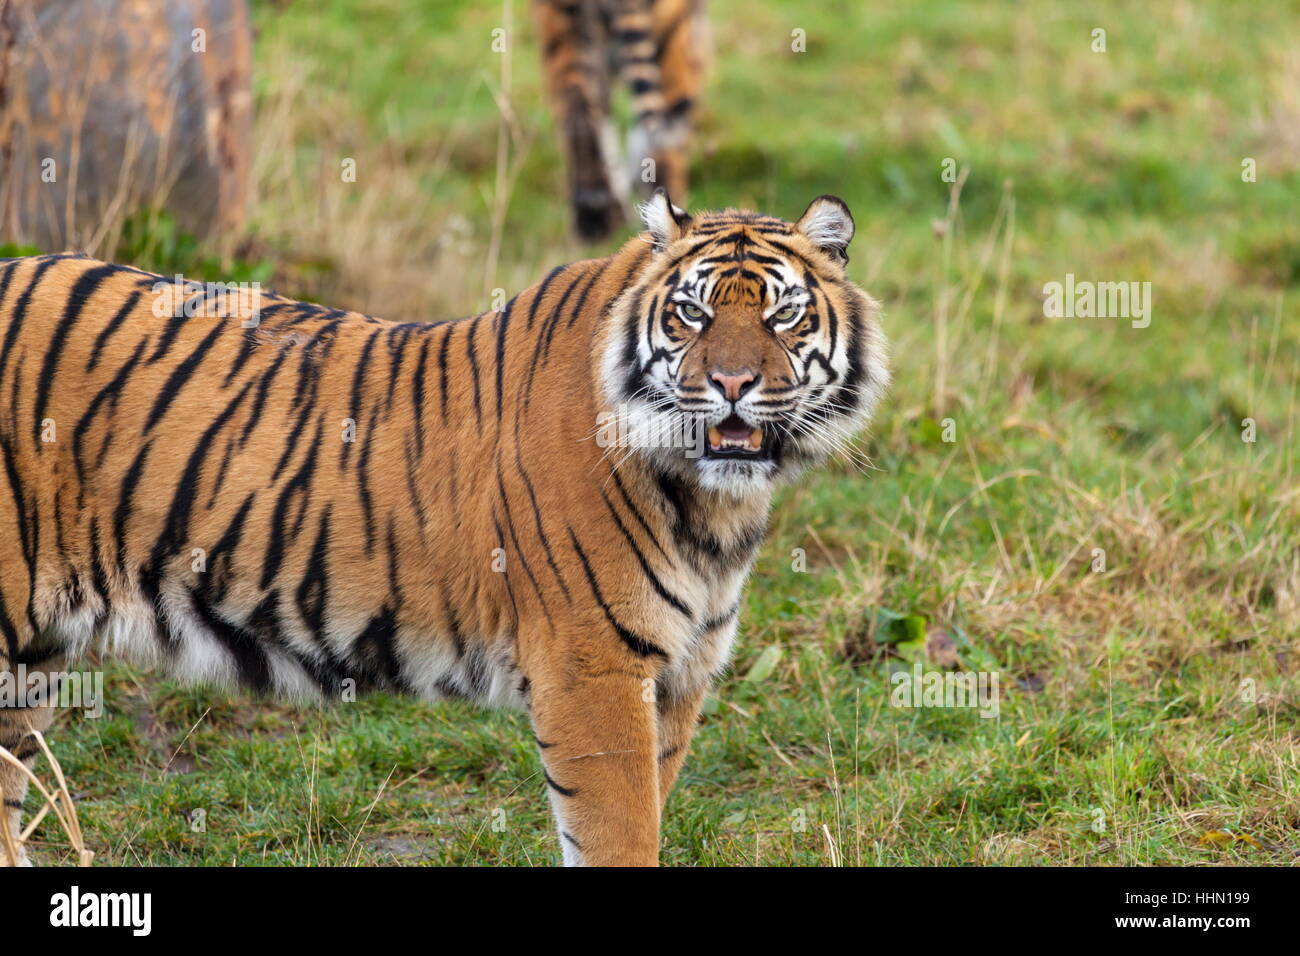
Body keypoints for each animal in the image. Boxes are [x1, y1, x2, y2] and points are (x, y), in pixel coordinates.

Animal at [0, 191, 888, 866]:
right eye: (692, 314)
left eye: (783, 316)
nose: (732, 384)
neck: (713, 504)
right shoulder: (593, 669)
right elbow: (622, 836)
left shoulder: (680, 674)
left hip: (33, 664)